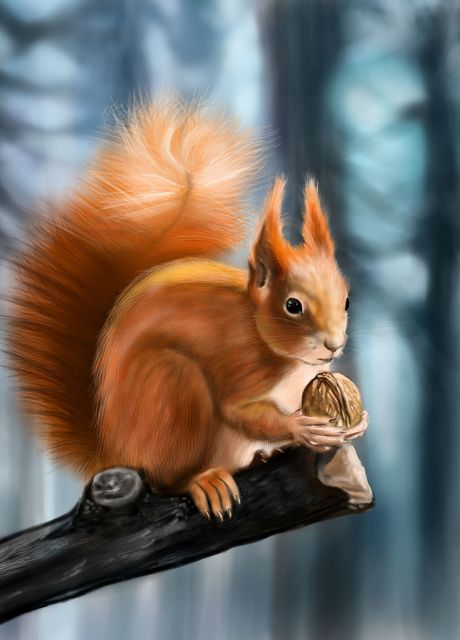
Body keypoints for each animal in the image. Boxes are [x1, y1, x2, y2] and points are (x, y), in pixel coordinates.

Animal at [7, 99, 369, 520]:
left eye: (347, 300)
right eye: (292, 305)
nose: (334, 345)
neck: (287, 358)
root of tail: (115, 452)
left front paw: (358, 423)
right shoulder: (239, 364)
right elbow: (238, 411)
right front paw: (301, 428)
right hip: (174, 389)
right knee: (166, 478)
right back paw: (203, 482)